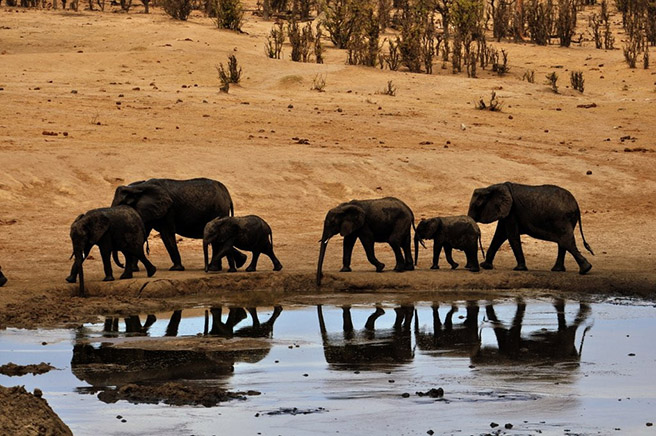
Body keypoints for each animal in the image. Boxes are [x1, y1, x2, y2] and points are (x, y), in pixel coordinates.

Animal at [111, 178, 246, 272]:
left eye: (120, 205)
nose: (122, 265)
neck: (138, 187)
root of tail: (228, 195)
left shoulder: (167, 211)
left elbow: (166, 235)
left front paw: (175, 269)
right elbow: (143, 235)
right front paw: (134, 270)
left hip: (218, 210)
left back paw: (214, 268)